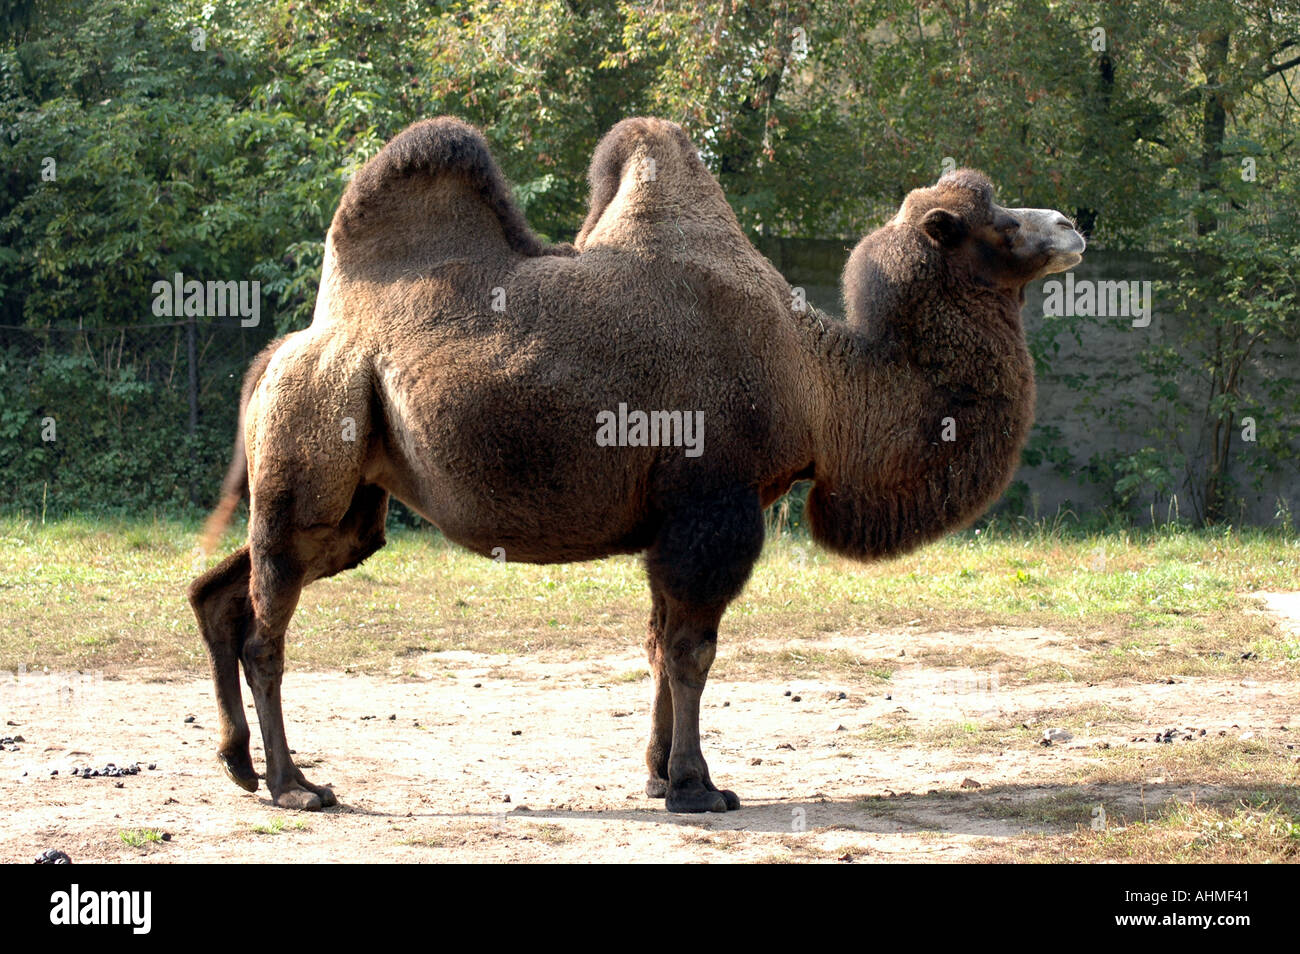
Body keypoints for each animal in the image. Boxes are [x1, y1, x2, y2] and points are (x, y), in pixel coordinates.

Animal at [189, 116, 1085, 813]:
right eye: (984, 220)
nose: (1072, 226)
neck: (822, 382)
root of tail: (286, 348)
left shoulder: (670, 519)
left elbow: (660, 643)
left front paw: (659, 778)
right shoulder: (713, 505)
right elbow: (692, 650)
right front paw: (697, 787)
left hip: (352, 493)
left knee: (226, 590)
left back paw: (238, 764)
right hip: (316, 426)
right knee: (268, 625)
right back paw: (295, 785)